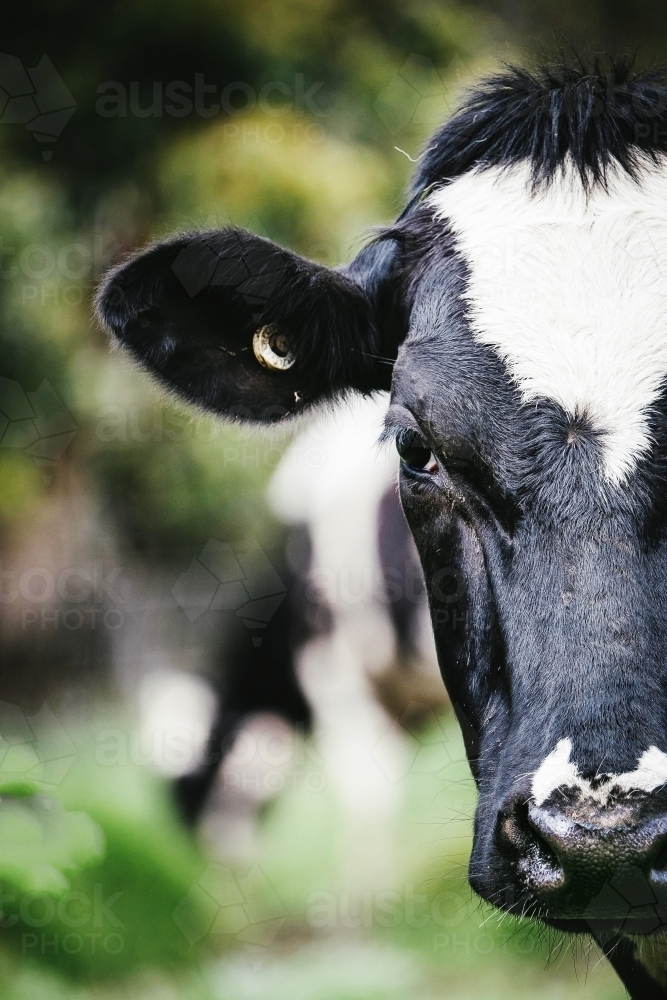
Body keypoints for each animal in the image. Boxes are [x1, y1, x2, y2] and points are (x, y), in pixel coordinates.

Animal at [96, 56, 667, 998]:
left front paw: (362, 915)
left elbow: (361, 793)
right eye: (414, 445)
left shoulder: (336, 669)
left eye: (195, 797)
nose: (605, 836)